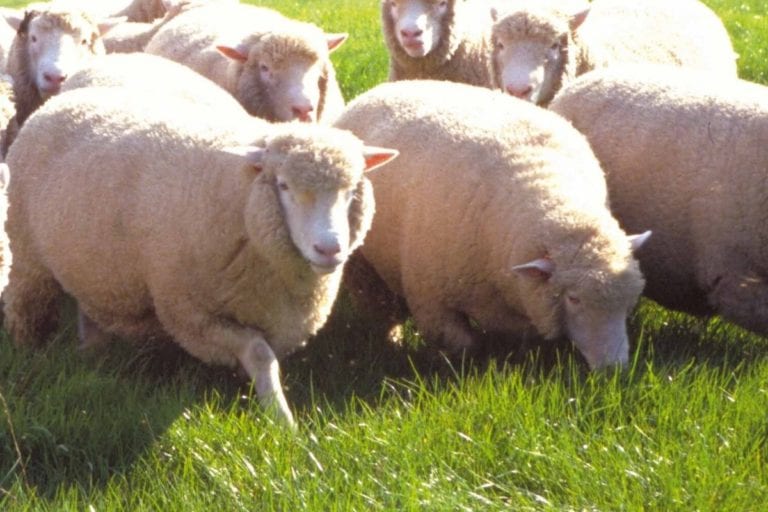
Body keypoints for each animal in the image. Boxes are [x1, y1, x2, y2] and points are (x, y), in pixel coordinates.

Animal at [3, 85, 398, 425]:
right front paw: (282, 421)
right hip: (28, 258)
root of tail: (58, 101)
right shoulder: (190, 313)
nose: (329, 248)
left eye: (351, 191)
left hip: (95, 269)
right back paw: (28, 352)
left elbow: (262, 359)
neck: (240, 198)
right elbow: (259, 354)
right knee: (24, 308)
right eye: (283, 185)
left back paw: (92, 356)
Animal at [335, 80, 649, 369]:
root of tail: (388, 85)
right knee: (379, 307)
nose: (614, 369)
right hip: (364, 267)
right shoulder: (434, 302)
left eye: (630, 301)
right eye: (574, 299)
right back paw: (391, 339)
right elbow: (465, 345)